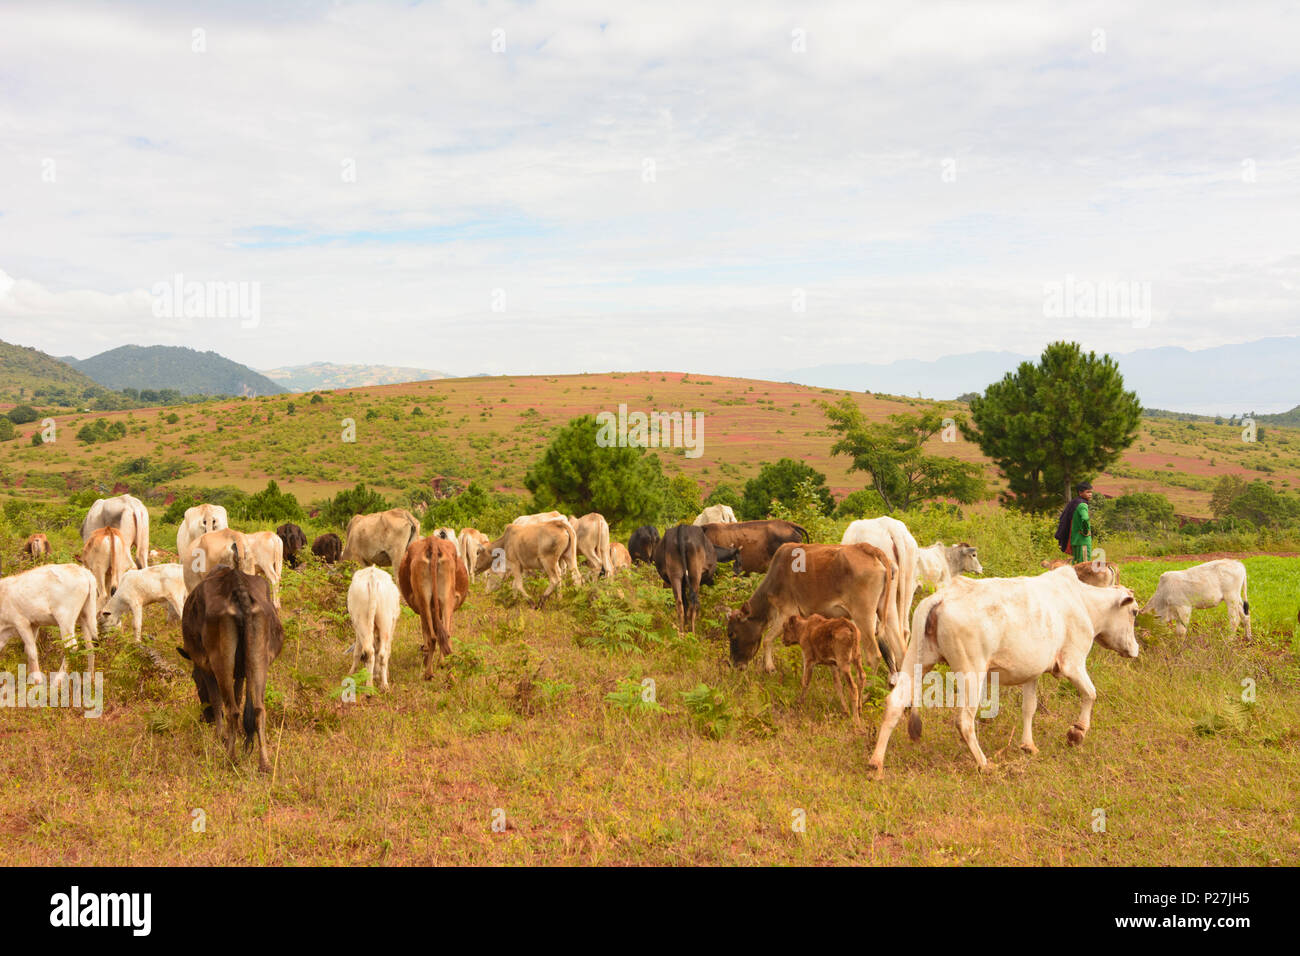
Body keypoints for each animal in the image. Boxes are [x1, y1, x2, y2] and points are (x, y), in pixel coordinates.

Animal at [179, 563, 285, 773]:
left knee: (232, 709)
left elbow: (216, 699)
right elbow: (240, 695)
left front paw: (221, 736)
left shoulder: (205, 666)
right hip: (260, 659)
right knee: (258, 709)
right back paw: (264, 763)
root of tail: (239, 589)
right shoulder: (242, 673)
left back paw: (230, 758)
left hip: (220, 659)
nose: (205, 718)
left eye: (194, 678)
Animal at [398, 536, 469, 677]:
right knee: (443, 635)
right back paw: (439, 671)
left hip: (425, 599)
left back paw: (431, 672)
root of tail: (433, 542)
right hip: (445, 599)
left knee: (434, 636)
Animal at [727, 542, 897, 677]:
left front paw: (770, 668)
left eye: (732, 634)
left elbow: (767, 639)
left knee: (874, 655)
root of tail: (868, 548)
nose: (734, 665)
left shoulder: (787, 612)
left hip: (863, 615)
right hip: (884, 613)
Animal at [867, 566, 1141, 777]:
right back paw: (984, 763)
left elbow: (1029, 708)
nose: (1134, 650)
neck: (1083, 603)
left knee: (895, 703)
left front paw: (1028, 746)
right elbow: (1091, 694)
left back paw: (876, 764)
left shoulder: (1032, 673)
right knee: (964, 720)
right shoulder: (1073, 663)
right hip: (971, 672)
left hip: (918, 660)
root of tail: (941, 597)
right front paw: (1077, 733)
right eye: (1134, 611)